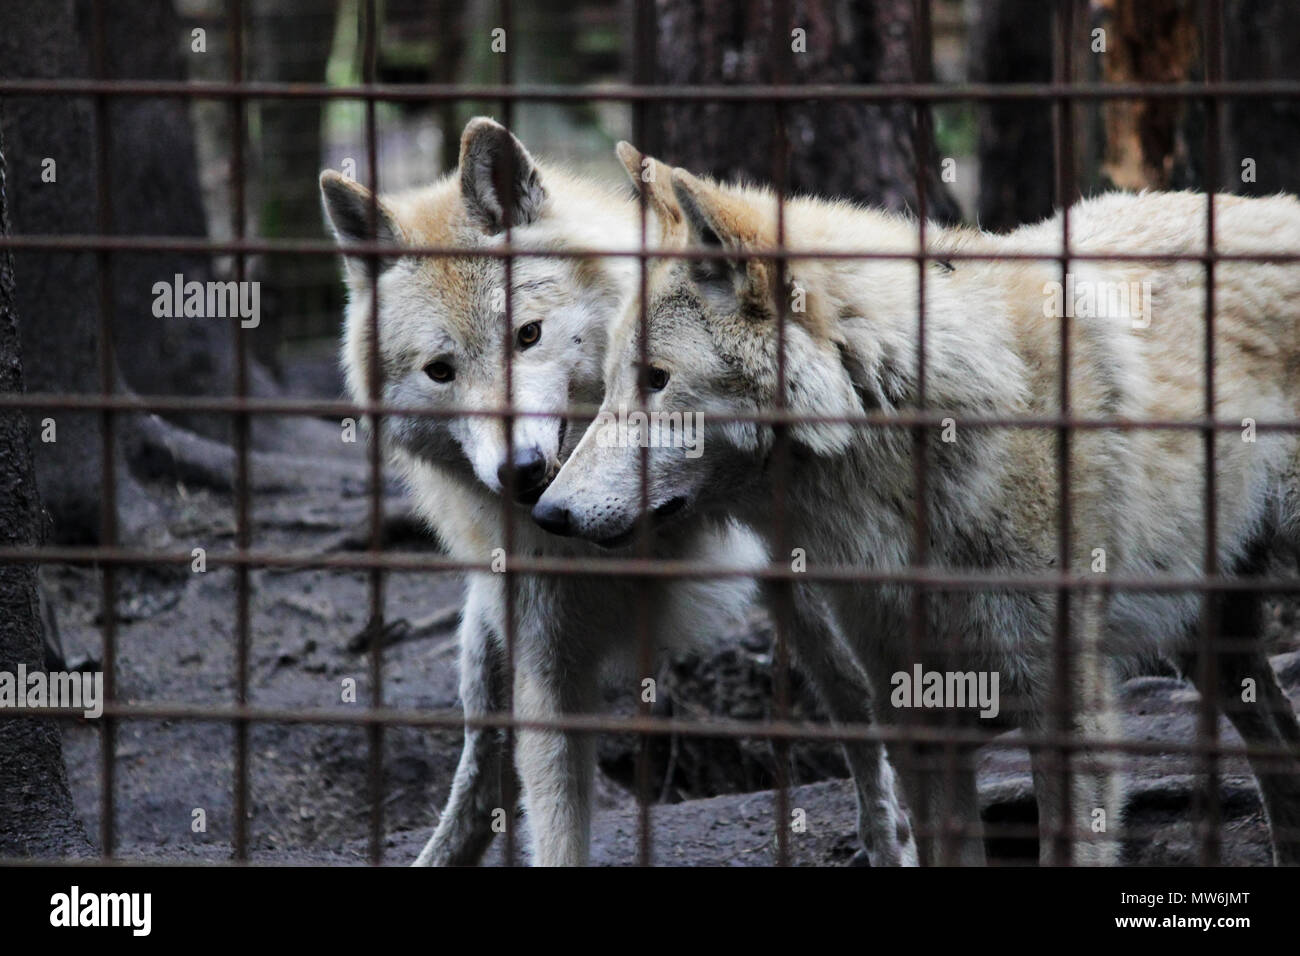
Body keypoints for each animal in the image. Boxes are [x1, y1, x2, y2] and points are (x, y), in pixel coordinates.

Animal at [321, 120, 913, 865]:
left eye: (528, 334)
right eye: (440, 371)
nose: (521, 471)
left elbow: (866, 717)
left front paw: (891, 834)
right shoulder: (547, 660)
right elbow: (553, 820)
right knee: (481, 761)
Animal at [534, 145, 1300, 866]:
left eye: (657, 379)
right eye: (611, 382)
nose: (548, 513)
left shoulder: (1063, 708)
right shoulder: (914, 715)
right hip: (1206, 642)